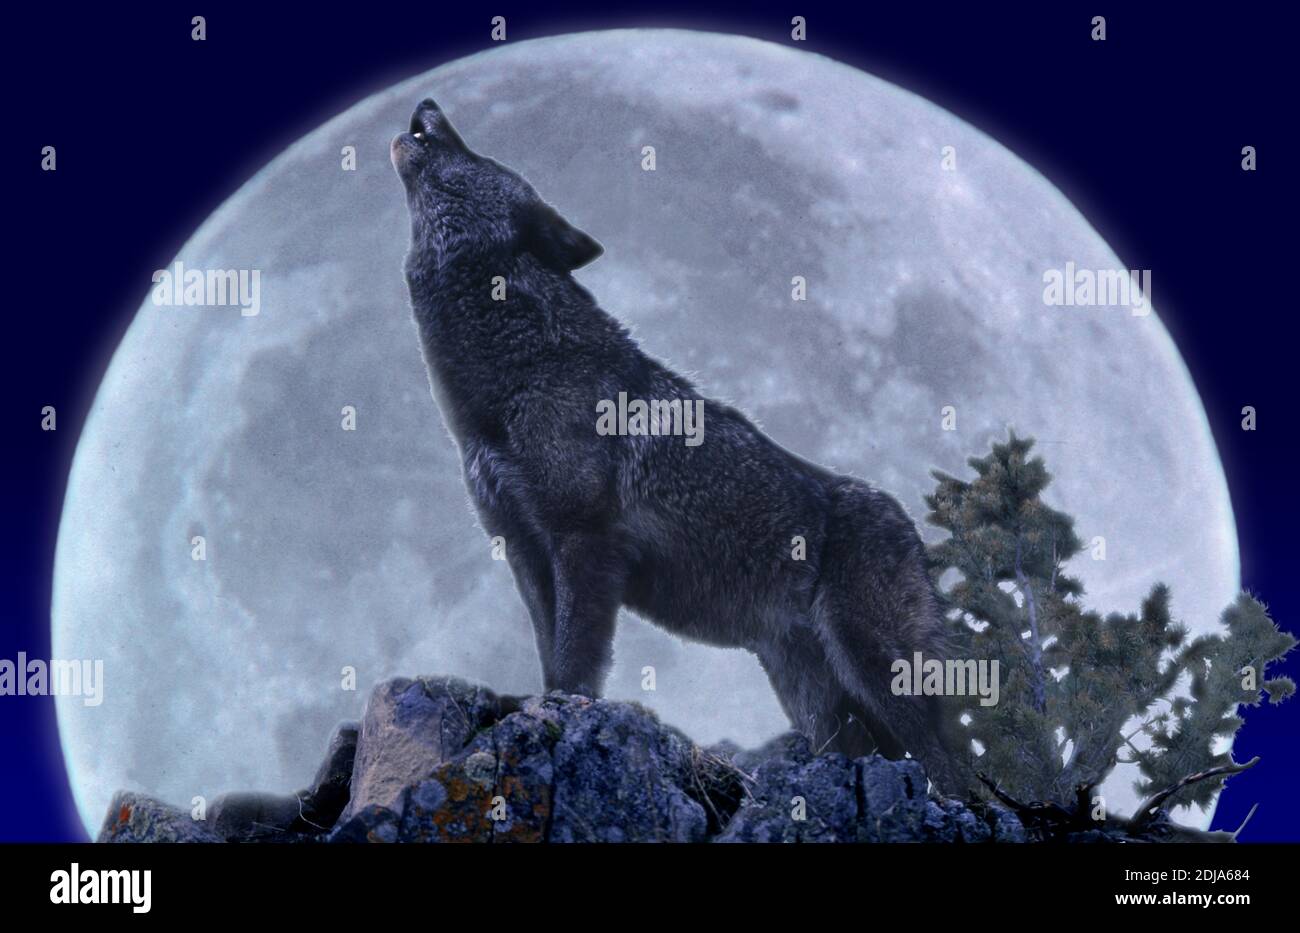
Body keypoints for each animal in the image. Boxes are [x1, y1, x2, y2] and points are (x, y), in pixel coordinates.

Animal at [392, 99, 966, 791]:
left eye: (477, 154)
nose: (428, 104)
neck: (516, 374)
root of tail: (916, 534)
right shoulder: (523, 549)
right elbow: (547, 648)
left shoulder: (584, 543)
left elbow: (575, 658)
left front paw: (562, 711)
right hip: (810, 690)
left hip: (875, 671)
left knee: (953, 770)